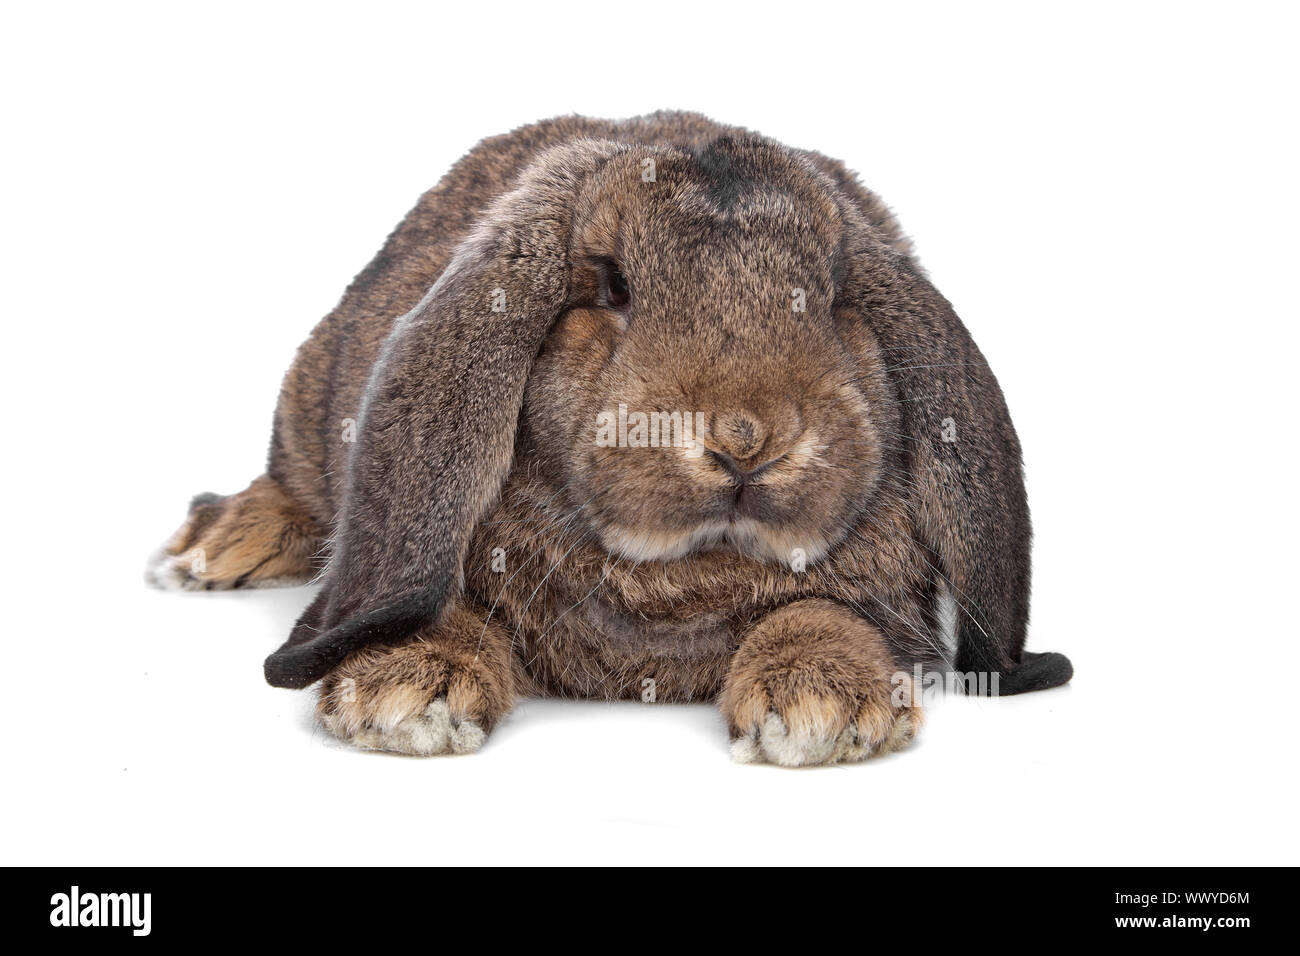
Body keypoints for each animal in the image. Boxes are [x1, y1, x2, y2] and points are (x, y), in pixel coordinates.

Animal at [147, 111, 1072, 766]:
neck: (681, 575)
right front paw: (401, 692)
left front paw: (826, 702)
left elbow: (821, 609)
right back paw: (218, 546)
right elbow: (442, 601)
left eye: (836, 293)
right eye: (614, 287)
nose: (747, 440)